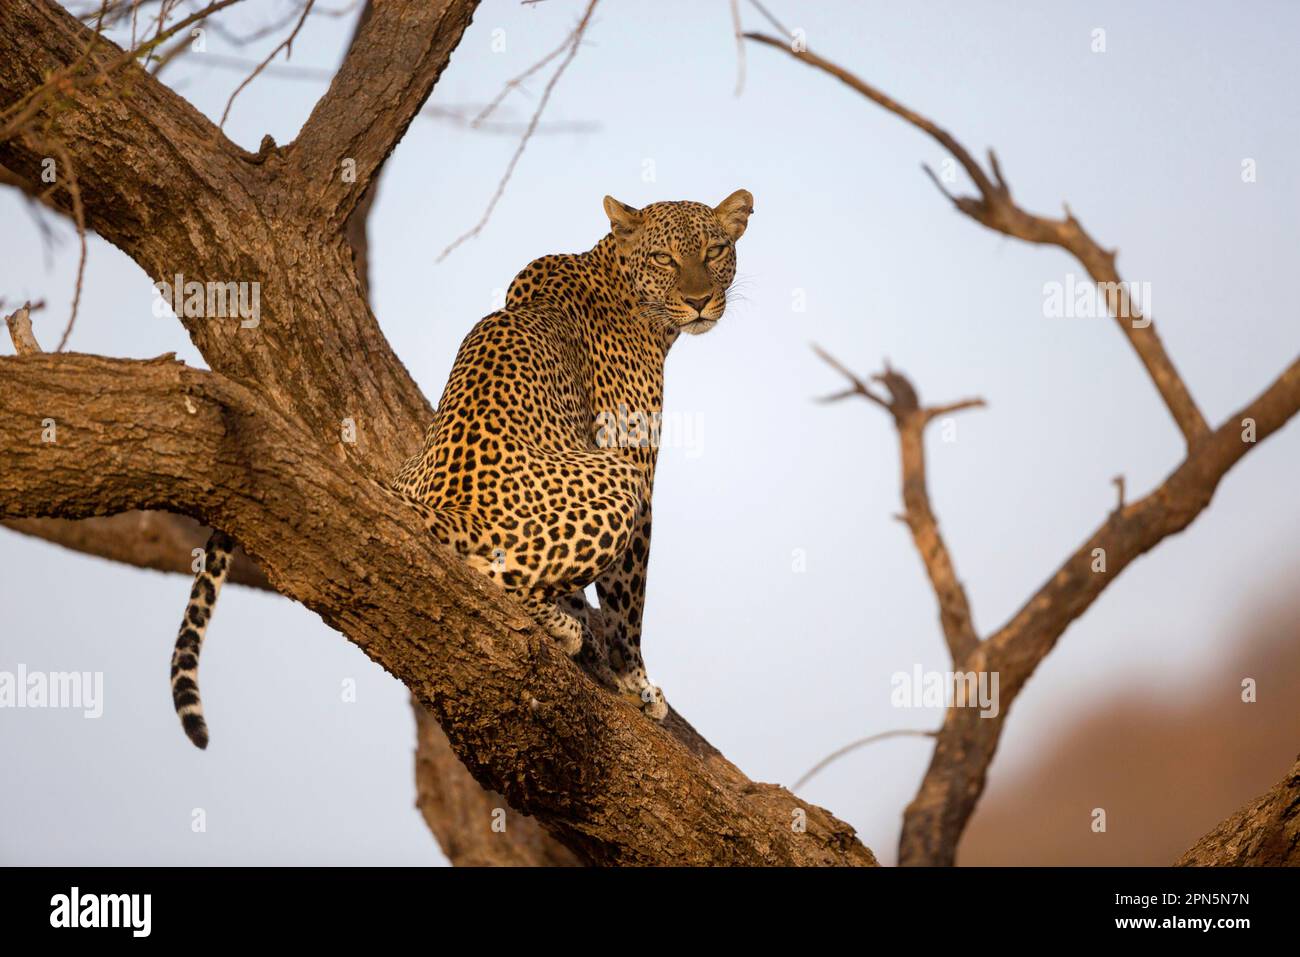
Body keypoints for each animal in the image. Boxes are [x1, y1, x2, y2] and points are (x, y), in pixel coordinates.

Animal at [169, 190, 753, 748]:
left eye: (715, 251)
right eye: (664, 257)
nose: (699, 300)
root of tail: (449, 505)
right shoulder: (636, 465)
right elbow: (627, 603)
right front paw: (637, 684)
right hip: (617, 483)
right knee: (496, 577)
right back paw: (565, 631)